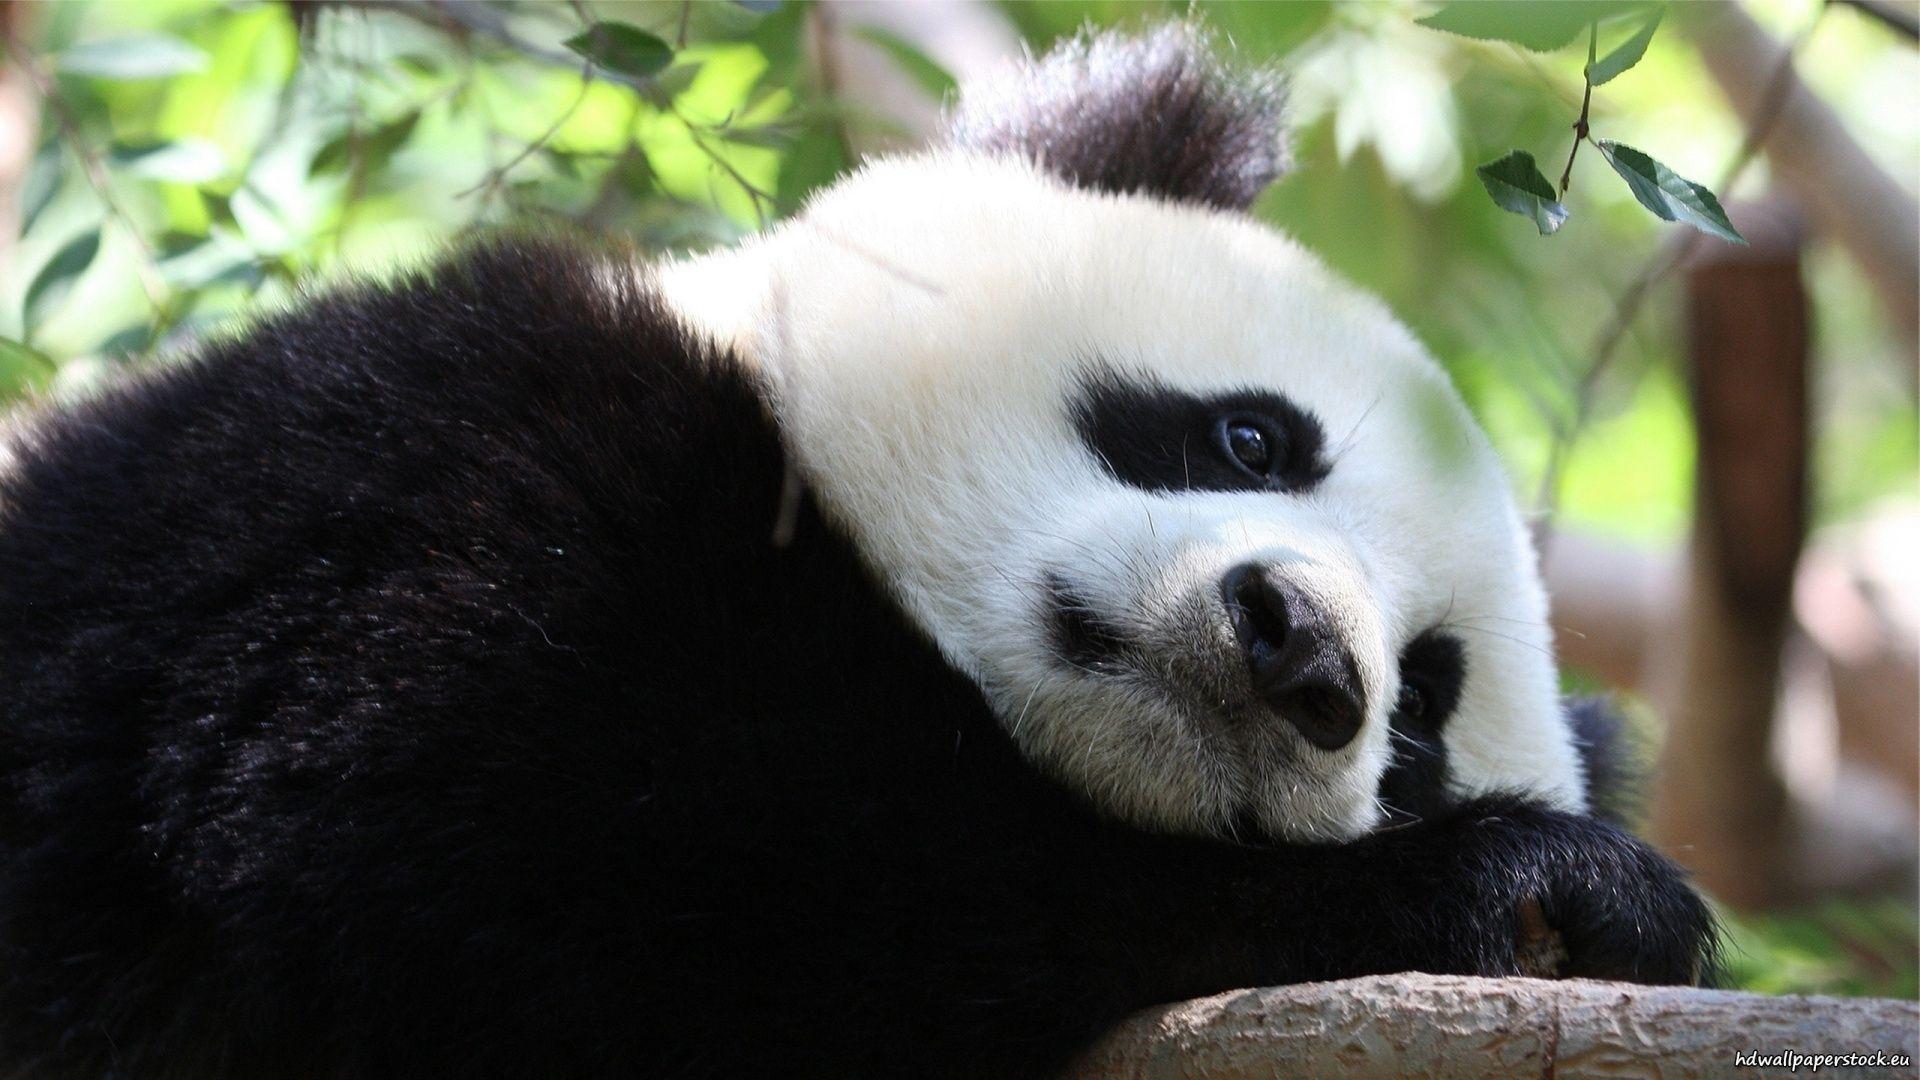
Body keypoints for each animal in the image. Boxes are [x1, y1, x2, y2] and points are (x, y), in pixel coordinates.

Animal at [0, 24, 1711, 1080]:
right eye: (1249, 439)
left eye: (1418, 717)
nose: (1297, 646)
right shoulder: (421, 474)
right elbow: (562, 845)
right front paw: (1528, 886)